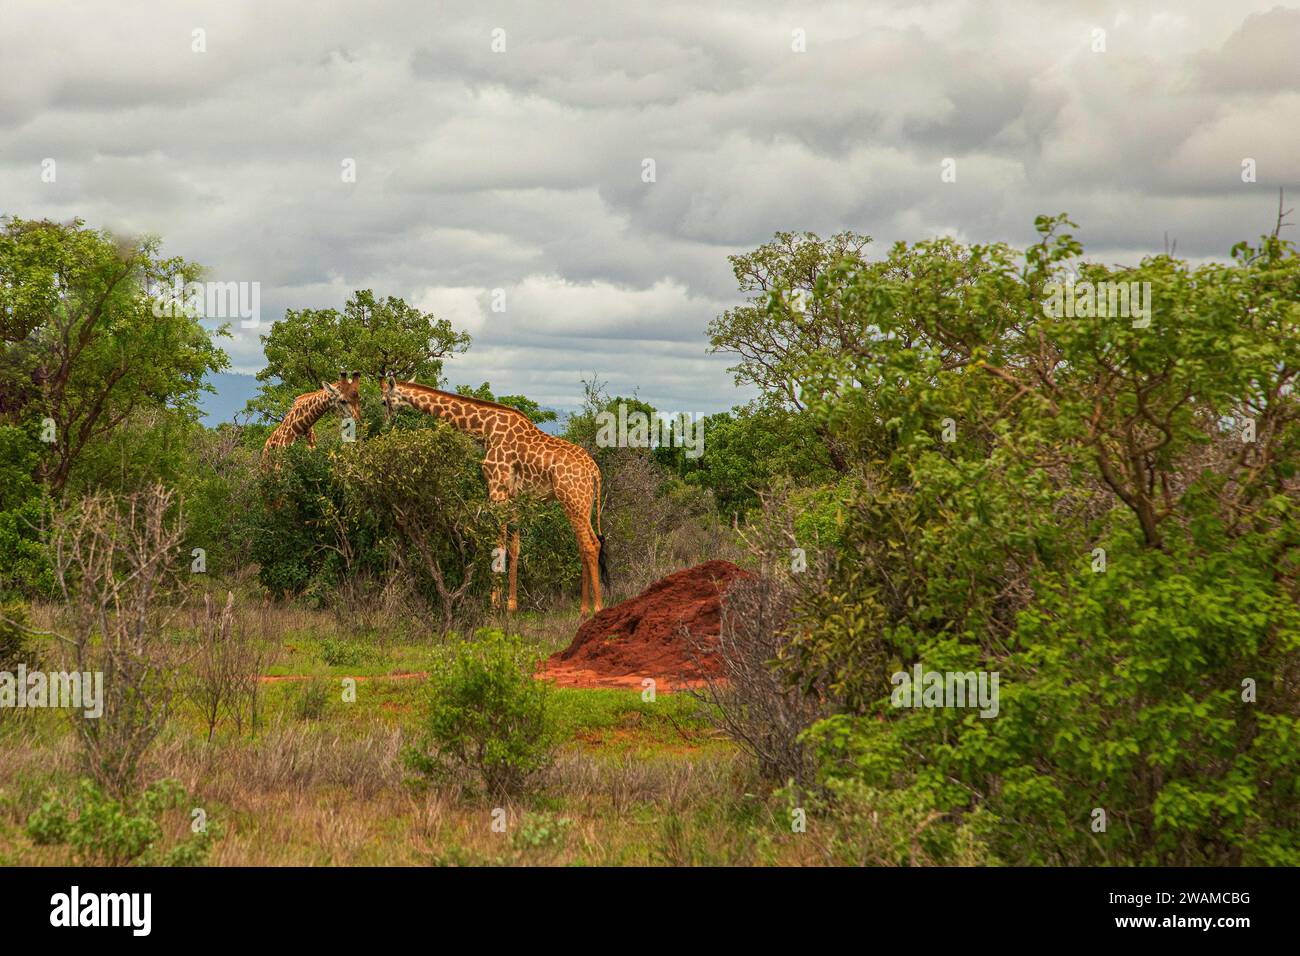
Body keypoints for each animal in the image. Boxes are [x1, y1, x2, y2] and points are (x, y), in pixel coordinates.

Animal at [380, 376, 608, 615]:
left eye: (383, 401)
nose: (386, 424)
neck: (485, 429)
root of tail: (595, 472)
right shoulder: (515, 497)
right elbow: (514, 548)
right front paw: (512, 605)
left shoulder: (496, 488)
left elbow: (498, 544)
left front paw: (494, 604)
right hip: (583, 504)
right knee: (585, 545)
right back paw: (583, 609)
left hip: (572, 500)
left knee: (591, 545)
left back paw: (598, 608)